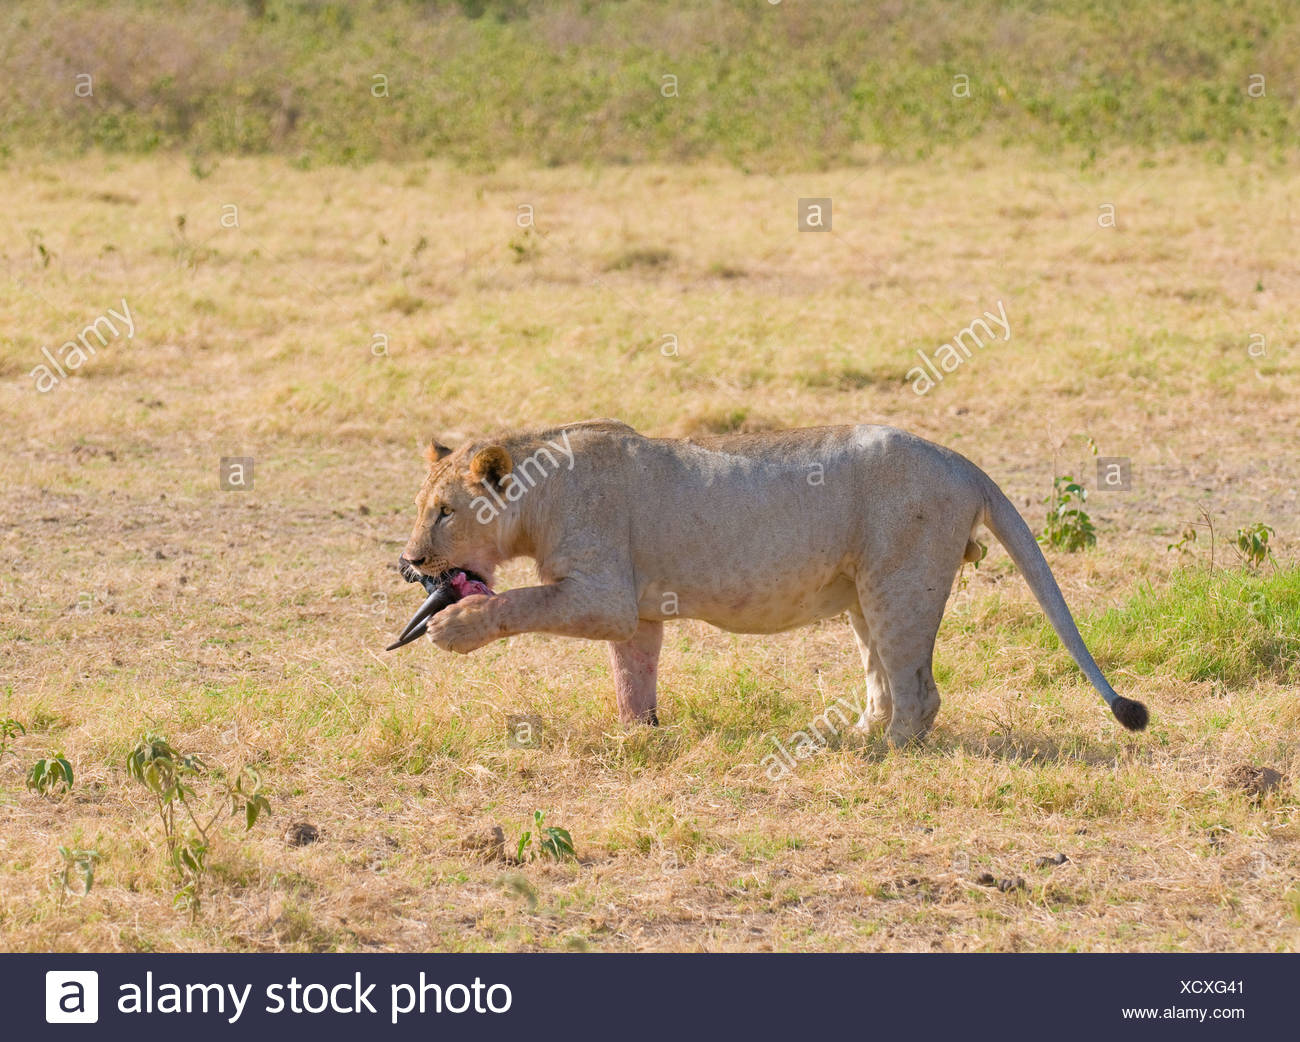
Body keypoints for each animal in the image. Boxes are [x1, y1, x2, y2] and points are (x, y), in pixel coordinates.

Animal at [399, 419, 1147, 745]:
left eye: (445, 512)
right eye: (420, 506)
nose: (411, 559)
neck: (538, 495)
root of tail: (964, 462)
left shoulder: (600, 592)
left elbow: (520, 601)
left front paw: (450, 628)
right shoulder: (635, 613)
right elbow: (633, 673)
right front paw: (638, 734)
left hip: (900, 583)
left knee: (920, 691)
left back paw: (886, 756)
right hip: (863, 596)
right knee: (883, 679)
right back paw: (858, 736)